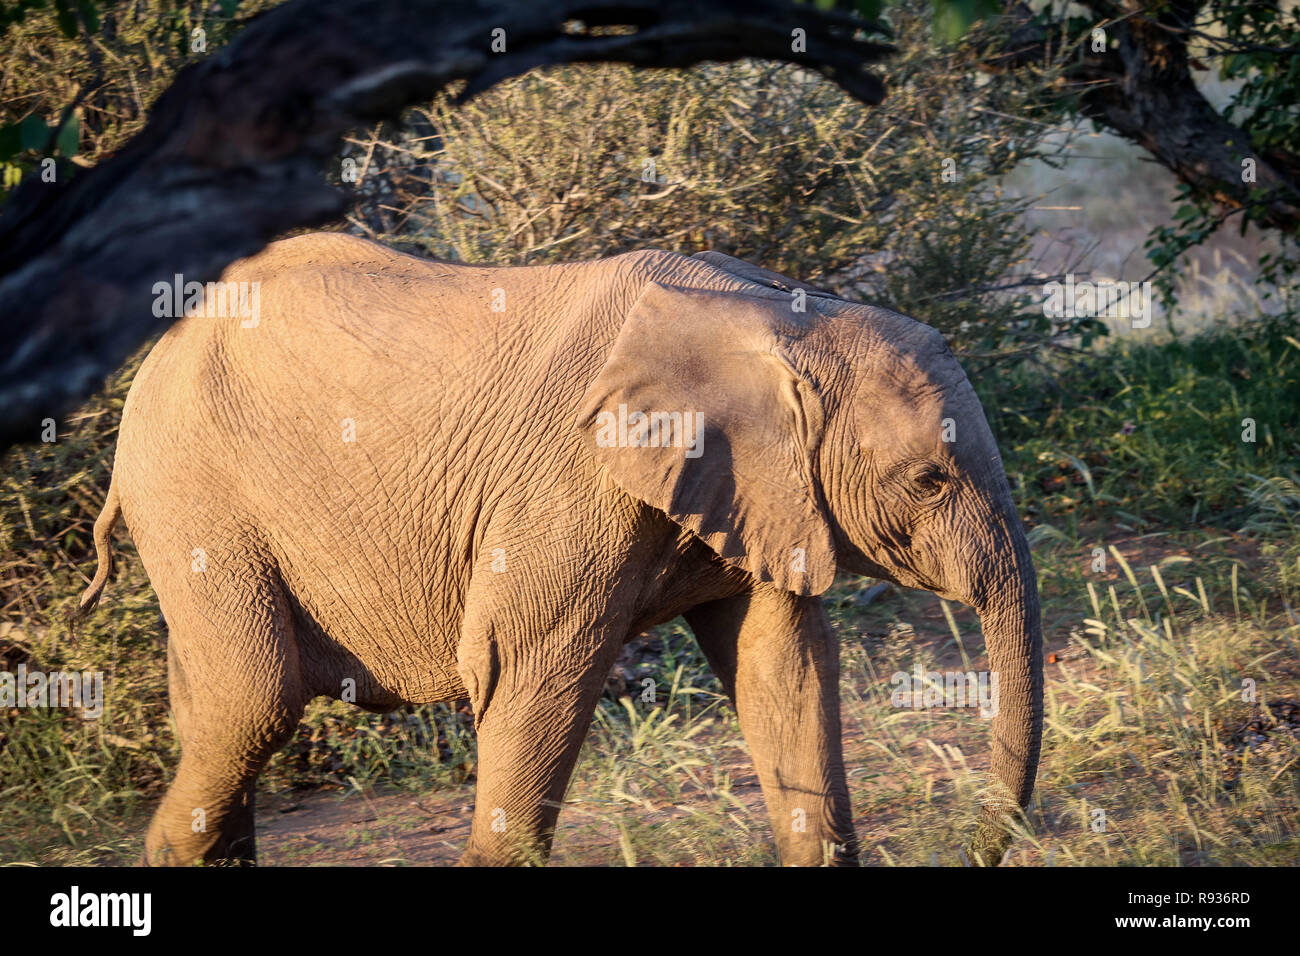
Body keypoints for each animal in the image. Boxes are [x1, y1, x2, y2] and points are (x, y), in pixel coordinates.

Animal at [76, 231, 1042, 867]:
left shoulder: (761, 489)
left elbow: (785, 666)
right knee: (256, 695)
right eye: (929, 481)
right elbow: (532, 667)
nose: (978, 848)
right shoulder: (569, 483)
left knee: (213, 702)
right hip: (193, 493)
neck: (775, 314)